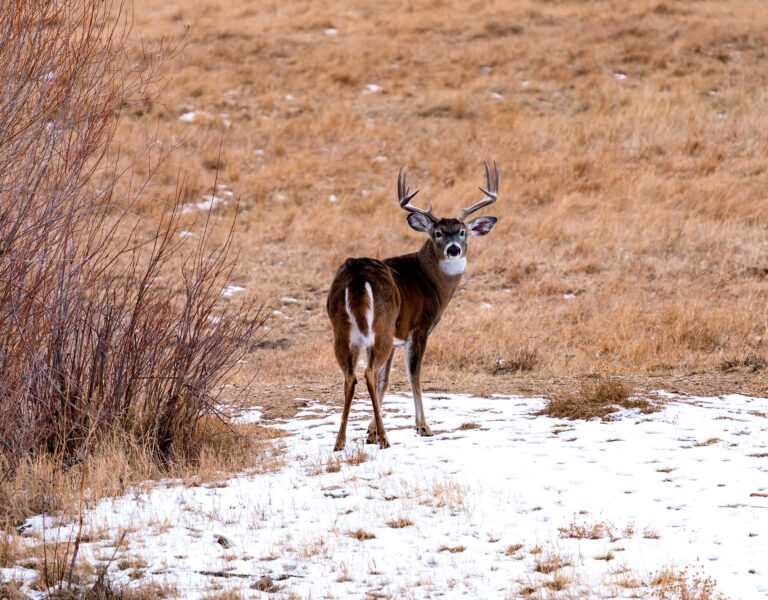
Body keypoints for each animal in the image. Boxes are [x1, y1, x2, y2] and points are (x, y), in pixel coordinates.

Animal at [326, 161, 499, 450]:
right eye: (437, 232)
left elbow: (385, 381)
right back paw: (385, 439)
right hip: (381, 326)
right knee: (368, 373)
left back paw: (340, 442)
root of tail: (358, 277)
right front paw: (422, 427)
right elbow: (413, 375)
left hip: (343, 330)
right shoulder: (418, 328)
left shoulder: (396, 339)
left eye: (462, 232)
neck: (430, 281)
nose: (454, 249)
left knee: (351, 375)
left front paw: (370, 432)